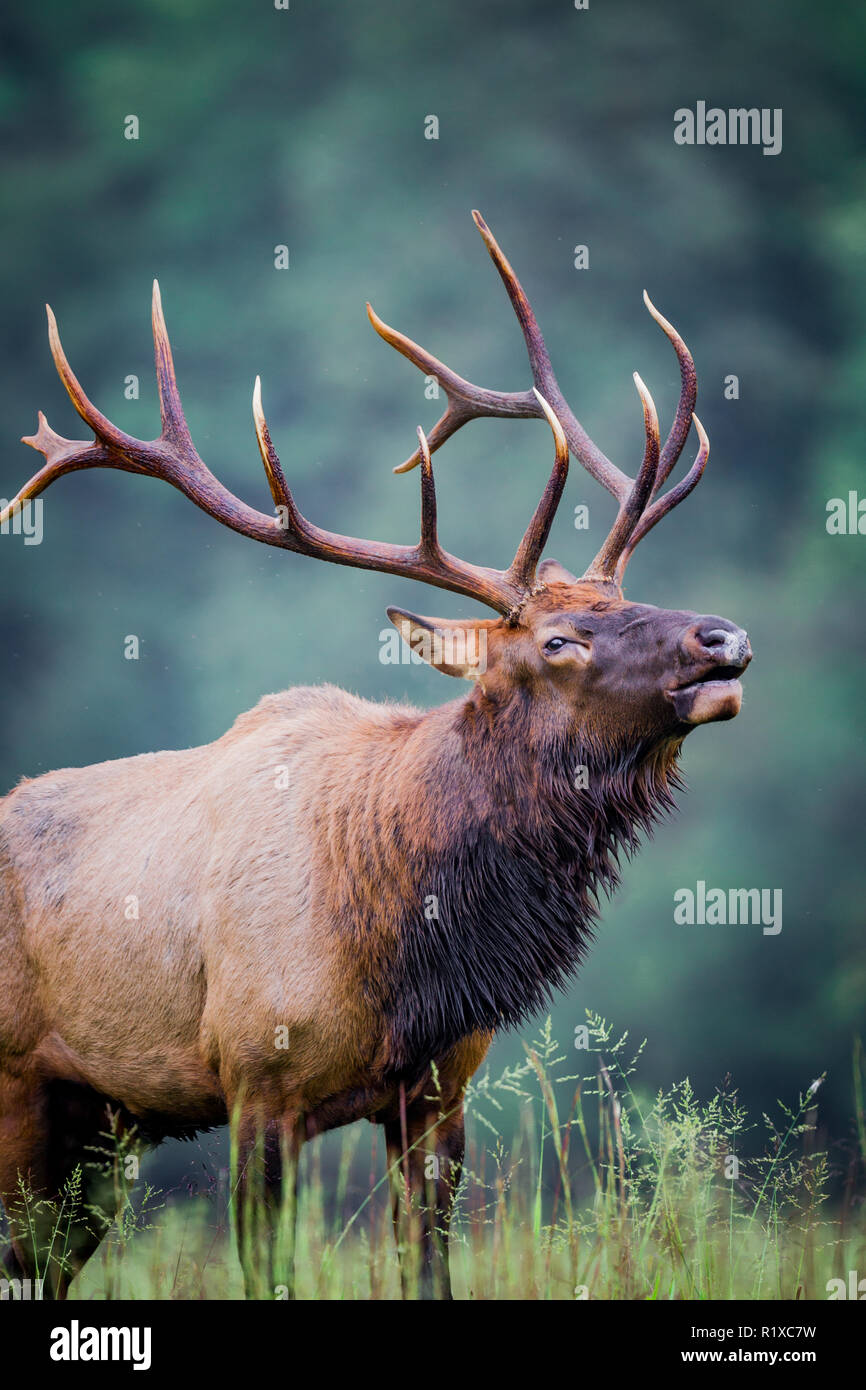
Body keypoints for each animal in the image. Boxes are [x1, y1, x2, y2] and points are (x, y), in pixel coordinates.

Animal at [0, 211, 751, 1301]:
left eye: (625, 599)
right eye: (559, 641)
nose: (721, 638)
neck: (406, 951)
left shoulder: (438, 1094)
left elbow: (429, 1269)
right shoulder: (256, 1080)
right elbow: (266, 1272)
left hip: (99, 1120)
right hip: (23, 1082)